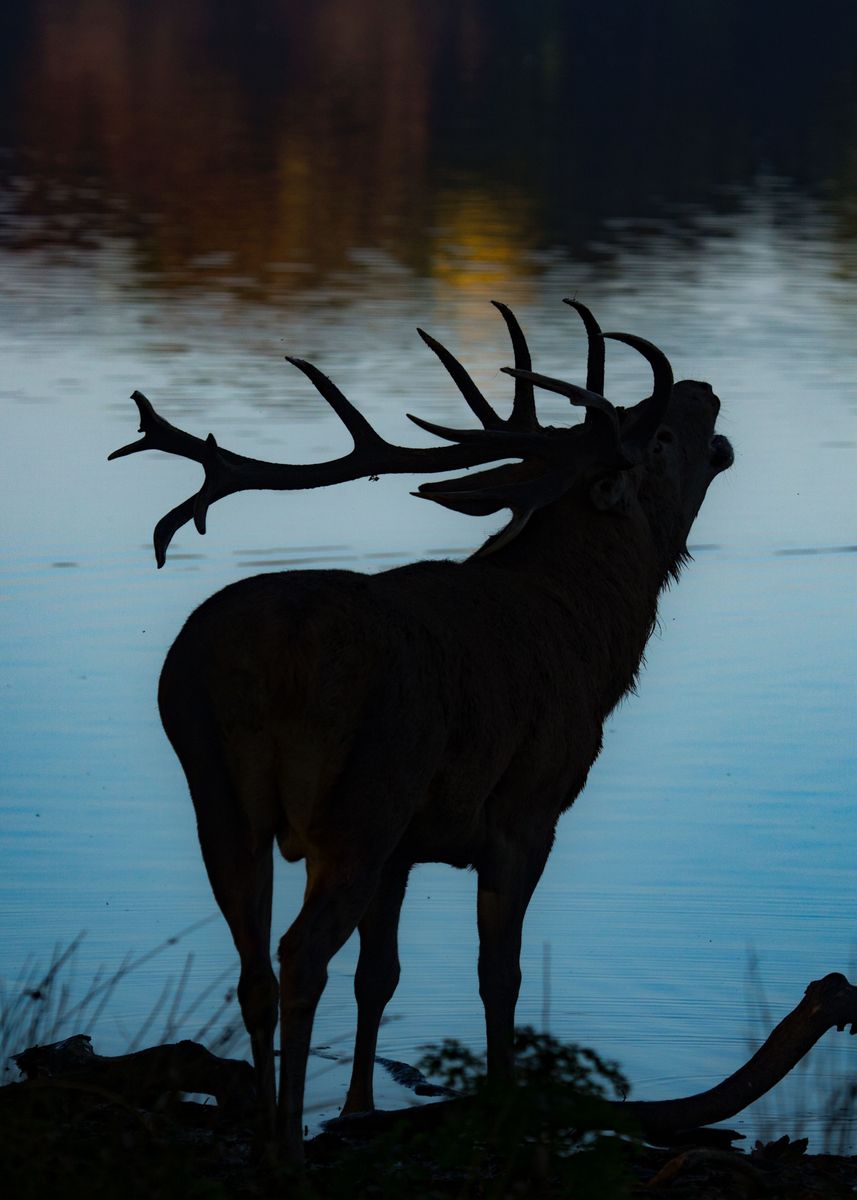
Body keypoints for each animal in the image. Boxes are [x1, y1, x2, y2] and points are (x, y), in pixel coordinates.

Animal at [110, 299, 733, 1159]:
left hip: (218, 794)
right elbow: (497, 973)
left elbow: (380, 976)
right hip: (362, 796)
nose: (705, 389)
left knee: (254, 964)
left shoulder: (406, 847)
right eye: (660, 435)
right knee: (300, 954)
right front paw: (503, 1106)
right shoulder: (526, 808)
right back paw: (287, 1145)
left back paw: (271, 1128)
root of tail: (265, 659)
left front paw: (358, 1109)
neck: (591, 638)